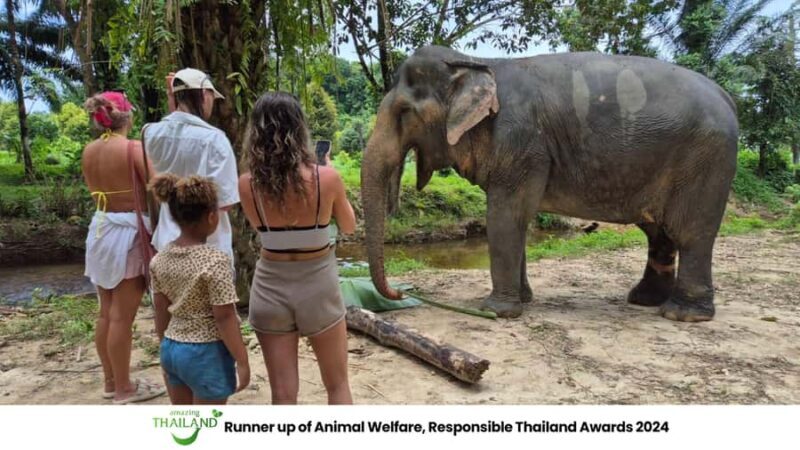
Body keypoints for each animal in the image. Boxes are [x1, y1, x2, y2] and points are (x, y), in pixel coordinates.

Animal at [361, 45, 738, 322]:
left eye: (404, 112)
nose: (402, 292)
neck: (476, 63)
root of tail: (726, 96)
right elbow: (518, 221)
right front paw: (524, 300)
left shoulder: (521, 141)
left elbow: (504, 217)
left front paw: (496, 311)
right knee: (658, 232)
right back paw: (643, 300)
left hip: (707, 160)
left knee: (691, 233)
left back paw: (682, 315)